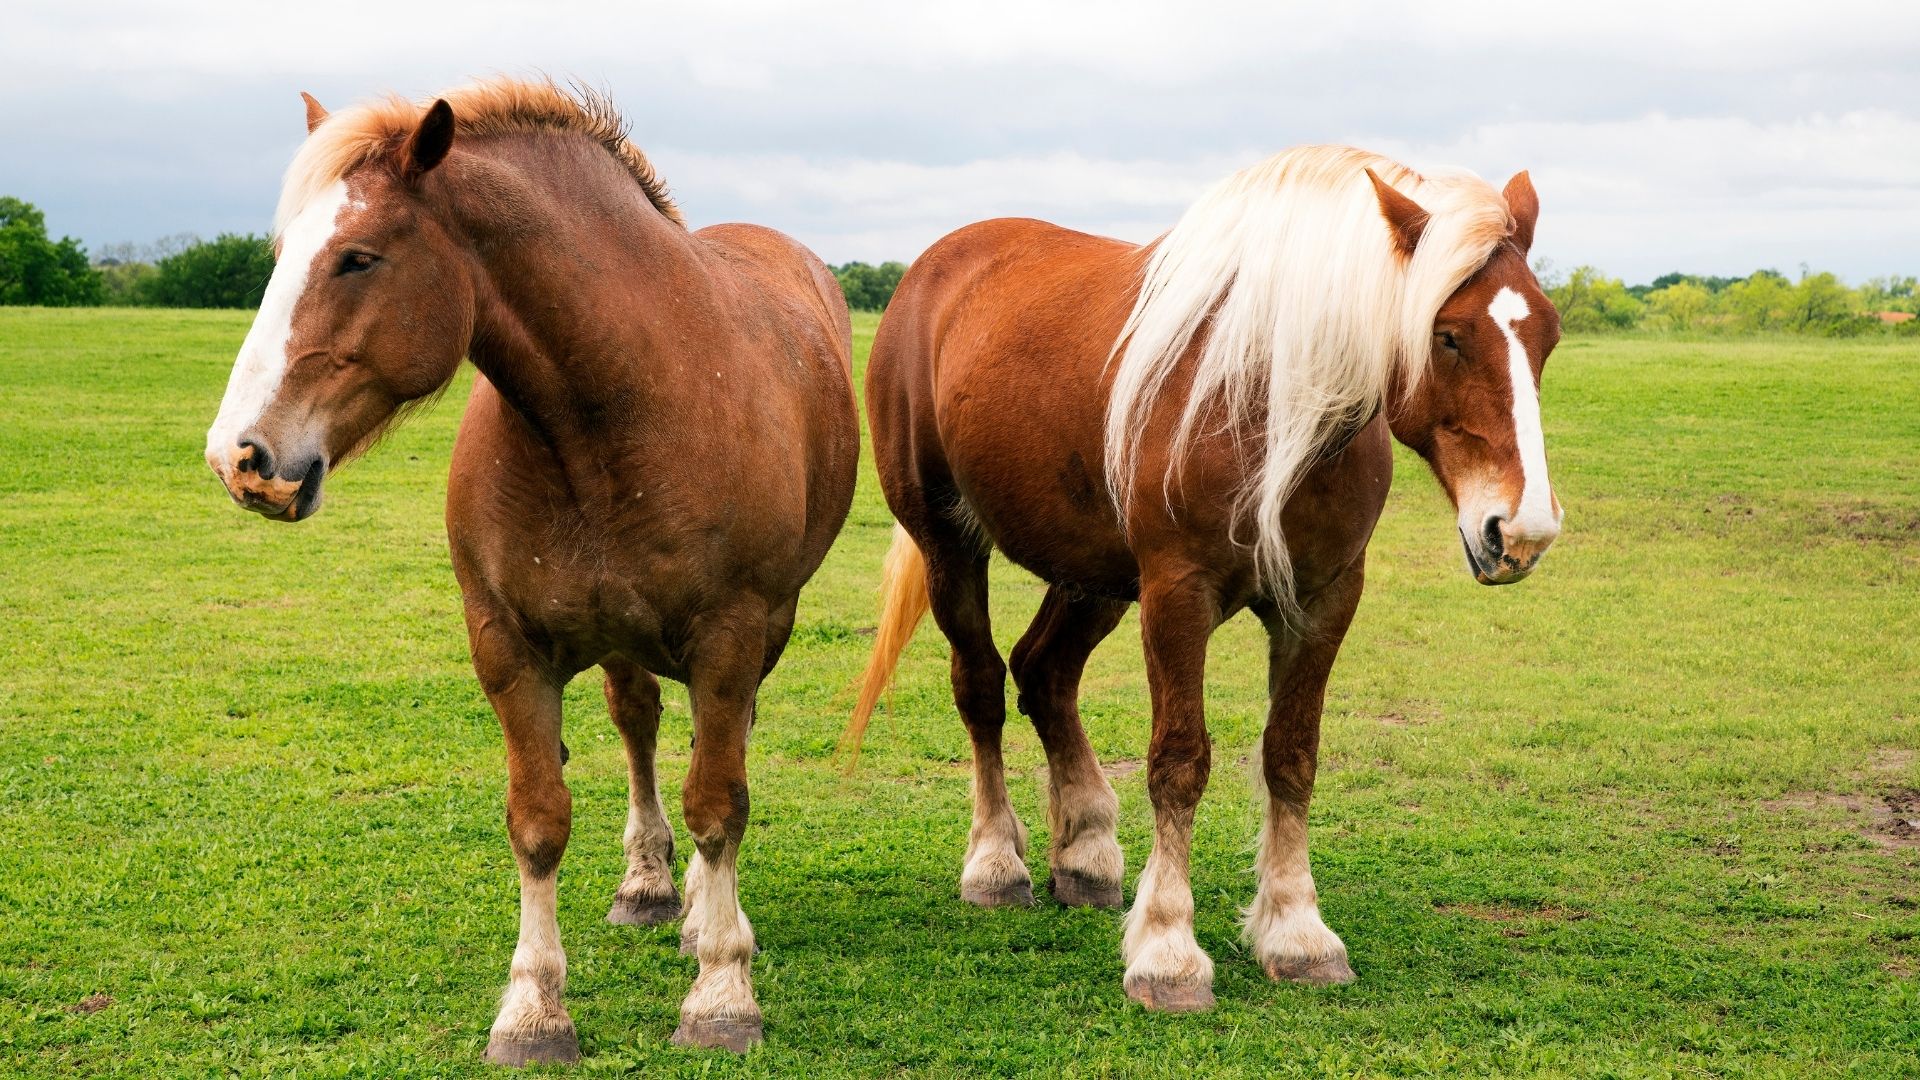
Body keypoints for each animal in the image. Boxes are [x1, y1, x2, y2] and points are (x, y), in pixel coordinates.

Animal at [204, 79, 859, 1062]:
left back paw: (703, 916)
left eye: (358, 258)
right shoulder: (505, 646)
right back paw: (650, 887)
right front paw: (533, 1008)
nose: (240, 457)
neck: (614, 408)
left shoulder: (731, 636)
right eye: (284, 256)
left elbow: (718, 802)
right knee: (638, 723)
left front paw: (721, 992)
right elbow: (538, 820)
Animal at [846, 146, 1562, 1011]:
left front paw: (1296, 931)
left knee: (1044, 673)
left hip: (1093, 575)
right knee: (981, 684)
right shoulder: (1177, 595)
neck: (1272, 400)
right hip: (950, 541)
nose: (1520, 531)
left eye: (1549, 335)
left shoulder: (1323, 600)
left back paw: (1084, 851)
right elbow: (1179, 763)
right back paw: (995, 861)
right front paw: (1167, 950)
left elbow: (1292, 755)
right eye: (1449, 336)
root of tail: (934, 269)